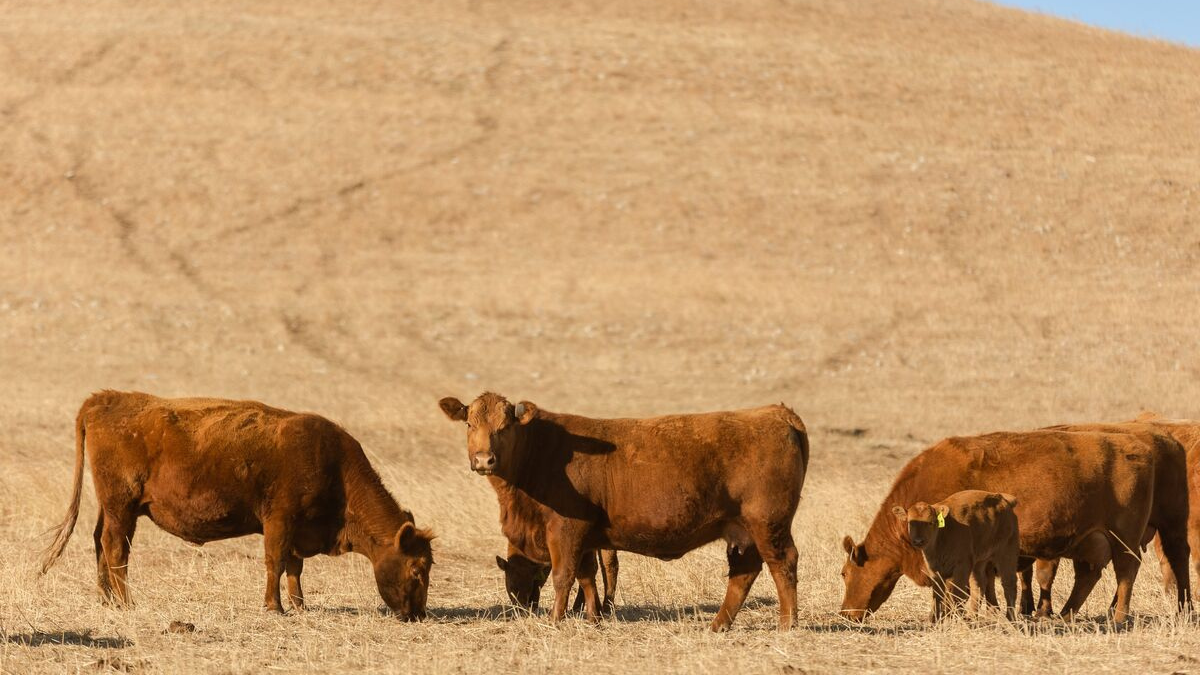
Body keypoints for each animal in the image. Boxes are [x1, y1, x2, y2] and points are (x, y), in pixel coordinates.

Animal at [39, 391, 435, 620]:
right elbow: (276, 562)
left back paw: (107, 599)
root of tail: (104, 399)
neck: (334, 465)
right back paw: (126, 602)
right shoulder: (280, 519)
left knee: (99, 542)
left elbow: (294, 567)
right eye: (417, 569)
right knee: (116, 547)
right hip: (122, 506)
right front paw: (275, 607)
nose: (417, 614)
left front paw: (300, 605)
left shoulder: (297, 529)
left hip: (113, 507)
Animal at [438, 392, 809, 631]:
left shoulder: (565, 529)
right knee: (744, 573)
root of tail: (779, 413)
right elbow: (587, 576)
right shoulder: (586, 537)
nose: (484, 460)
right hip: (743, 531)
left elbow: (563, 576)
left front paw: (556, 620)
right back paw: (718, 625)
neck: (543, 450)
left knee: (783, 564)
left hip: (768, 524)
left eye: (505, 427)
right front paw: (592, 618)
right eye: (469, 424)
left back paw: (787, 624)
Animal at [891, 490, 1020, 620]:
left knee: (1009, 583)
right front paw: (934, 620)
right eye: (910, 522)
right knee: (979, 585)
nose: (918, 541)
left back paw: (1011, 618)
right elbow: (938, 596)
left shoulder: (961, 568)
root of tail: (1004, 500)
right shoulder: (935, 571)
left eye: (931, 522)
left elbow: (957, 594)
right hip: (979, 561)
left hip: (1006, 552)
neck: (943, 533)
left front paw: (954, 619)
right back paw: (973, 617)